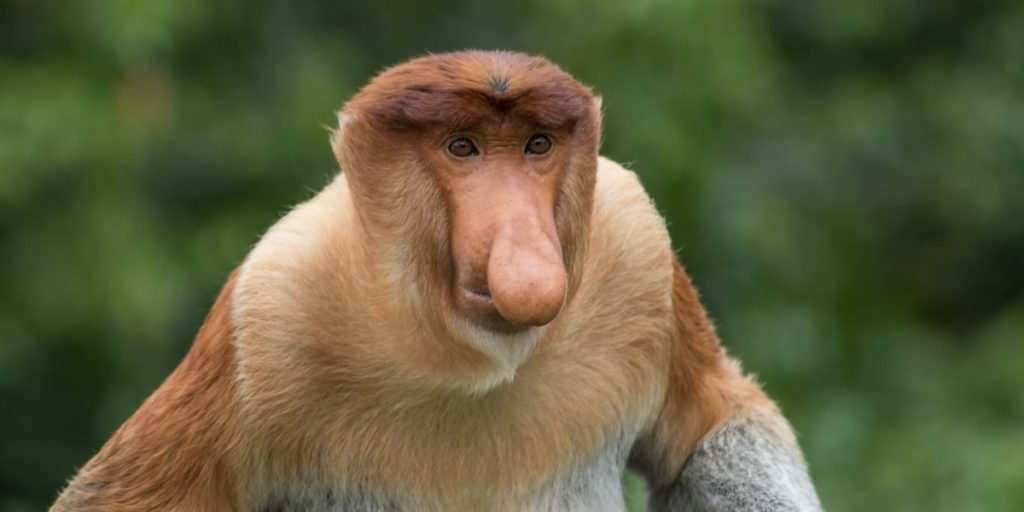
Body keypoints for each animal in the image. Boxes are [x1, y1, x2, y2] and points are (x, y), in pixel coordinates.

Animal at [51, 51, 822, 511]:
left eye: (537, 146)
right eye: (462, 147)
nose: (526, 254)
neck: (469, 359)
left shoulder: (635, 247)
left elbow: (716, 418)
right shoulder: (271, 304)